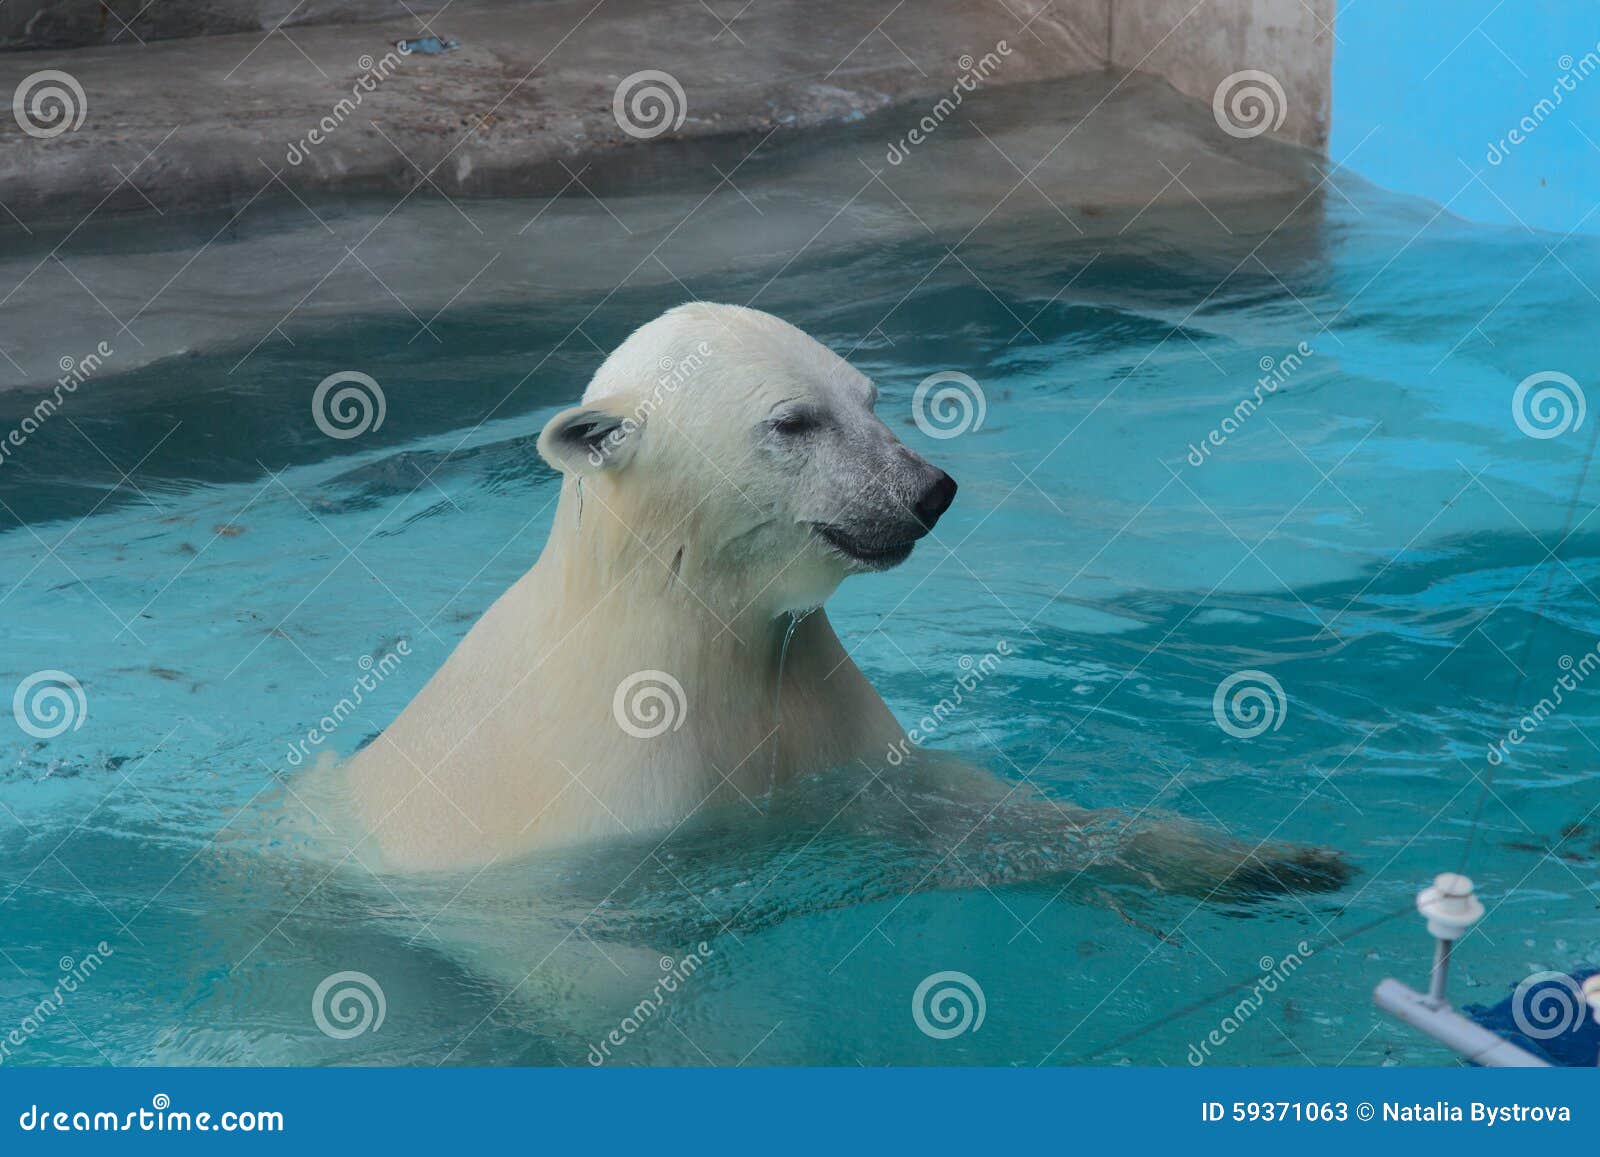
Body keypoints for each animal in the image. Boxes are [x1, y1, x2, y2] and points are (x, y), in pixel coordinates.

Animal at [329, 302, 1349, 902]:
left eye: (868, 394)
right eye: (793, 421)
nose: (930, 490)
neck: (680, 631)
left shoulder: (819, 715)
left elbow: (956, 810)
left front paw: (1269, 859)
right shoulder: (607, 805)